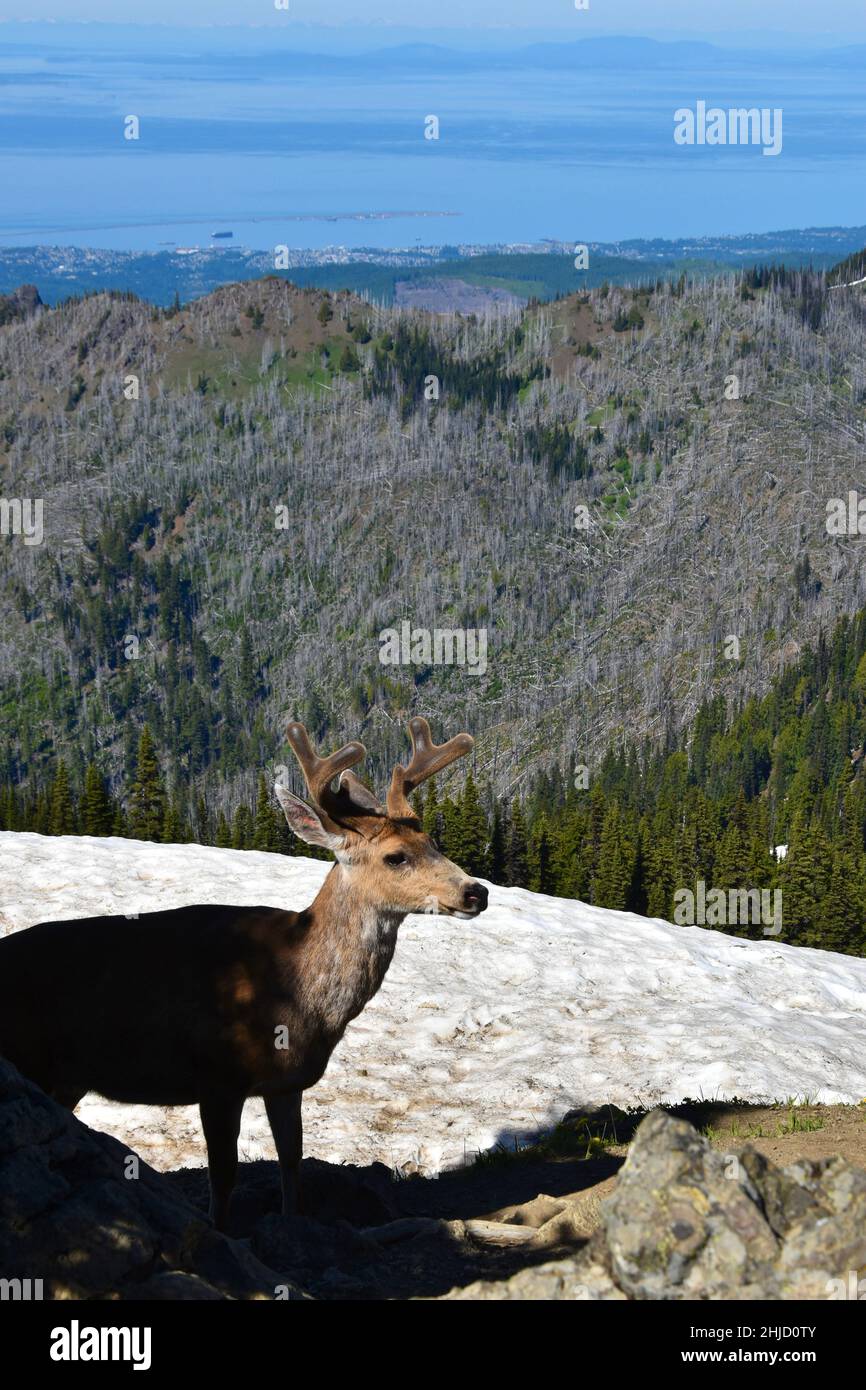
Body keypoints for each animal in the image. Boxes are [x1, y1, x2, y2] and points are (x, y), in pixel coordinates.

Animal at [0, 718, 488, 1231]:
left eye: (433, 843)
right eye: (396, 856)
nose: (477, 892)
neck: (295, 990)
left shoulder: (288, 1083)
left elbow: (292, 1163)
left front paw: (293, 1225)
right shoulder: (217, 1075)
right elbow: (224, 1173)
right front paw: (221, 1229)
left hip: (66, 1077)